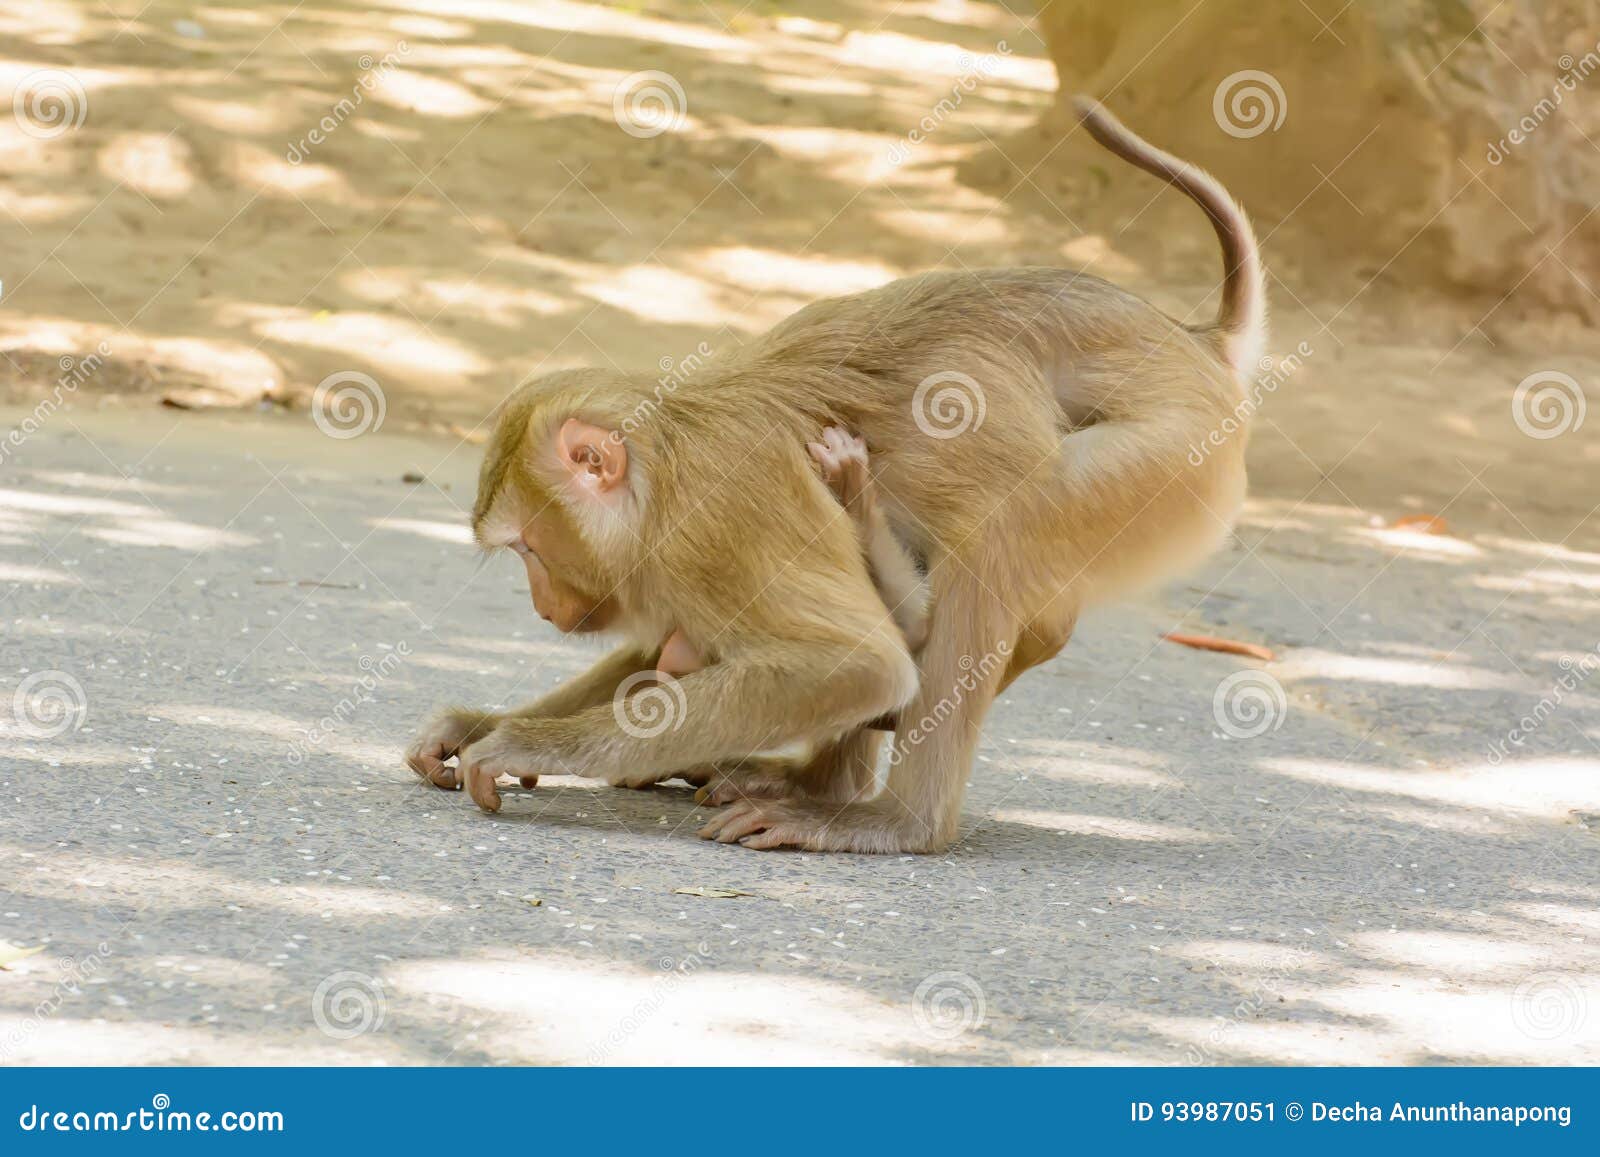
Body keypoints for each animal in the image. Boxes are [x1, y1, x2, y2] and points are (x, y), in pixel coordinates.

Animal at [406, 95, 1263, 853]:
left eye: (526, 548)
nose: (543, 604)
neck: (664, 466)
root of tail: (1196, 344)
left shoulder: (715, 521)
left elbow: (855, 663)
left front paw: (527, 741)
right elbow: (672, 646)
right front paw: (478, 723)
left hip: (1171, 453)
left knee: (997, 536)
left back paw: (890, 820)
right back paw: (815, 778)